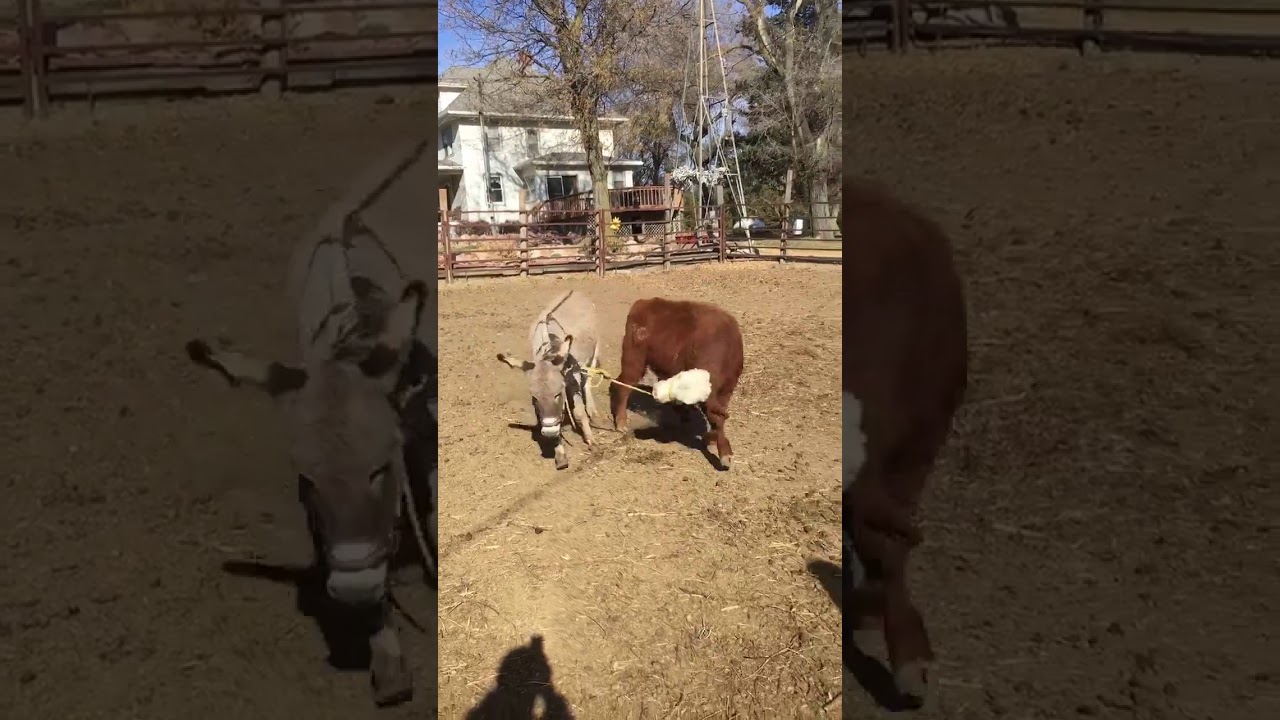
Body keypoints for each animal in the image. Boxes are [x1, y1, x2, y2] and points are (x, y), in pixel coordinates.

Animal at [498, 290, 600, 470]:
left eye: (558, 394)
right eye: (535, 398)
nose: (550, 431)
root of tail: (574, 291)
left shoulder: (572, 378)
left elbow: (579, 412)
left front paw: (591, 441)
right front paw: (560, 454)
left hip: (594, 352)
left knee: (588, 379)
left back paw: (593, 411)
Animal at [610, 298, 744, 471]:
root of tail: (644, 303)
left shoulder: (726, 391)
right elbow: (716, 419)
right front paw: (724, 453)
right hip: (634, 361)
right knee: (623, 386)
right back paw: (621, 423)